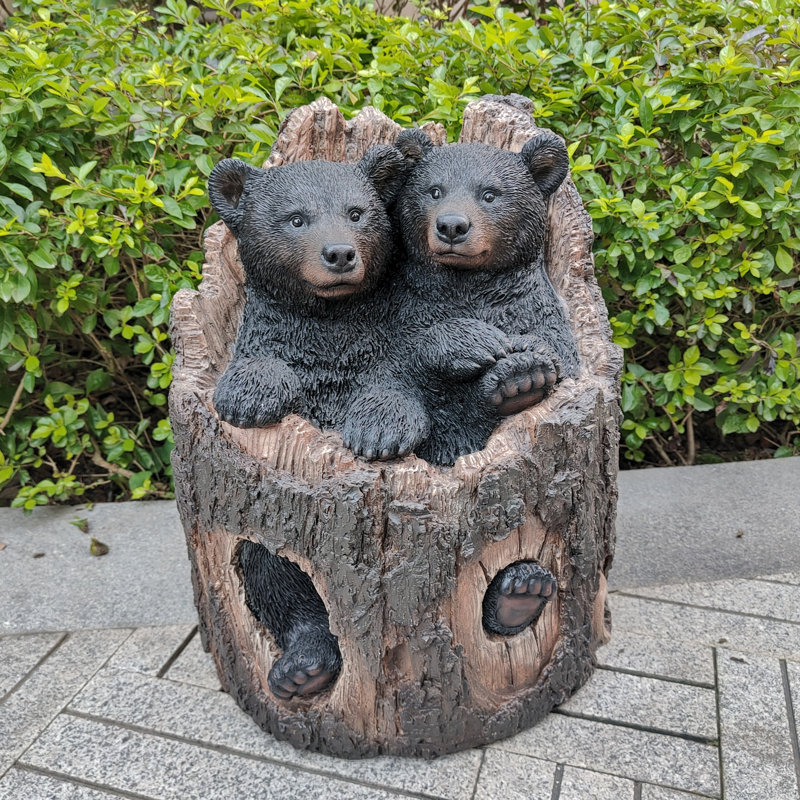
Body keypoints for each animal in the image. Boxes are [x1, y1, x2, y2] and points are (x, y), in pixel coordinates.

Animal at [208, 149, 423, 699]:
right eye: (296, 218)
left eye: (356, 212)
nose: (340, 254)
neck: (329, 321)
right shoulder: (273, 334)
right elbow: (257, 362)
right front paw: (247, 395)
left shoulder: (387, 339)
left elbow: (399, 379)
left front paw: (380, 428)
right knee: (274, 575)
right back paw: (303, 665)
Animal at [342, 129, 580, 636]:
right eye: (434, 190)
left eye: (490, 193)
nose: (452, 226)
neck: (467, 285)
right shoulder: (401, 313)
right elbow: (406, 369)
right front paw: (474, 348)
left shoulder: (532, 306)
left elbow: (557, 354)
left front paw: (523, 375)